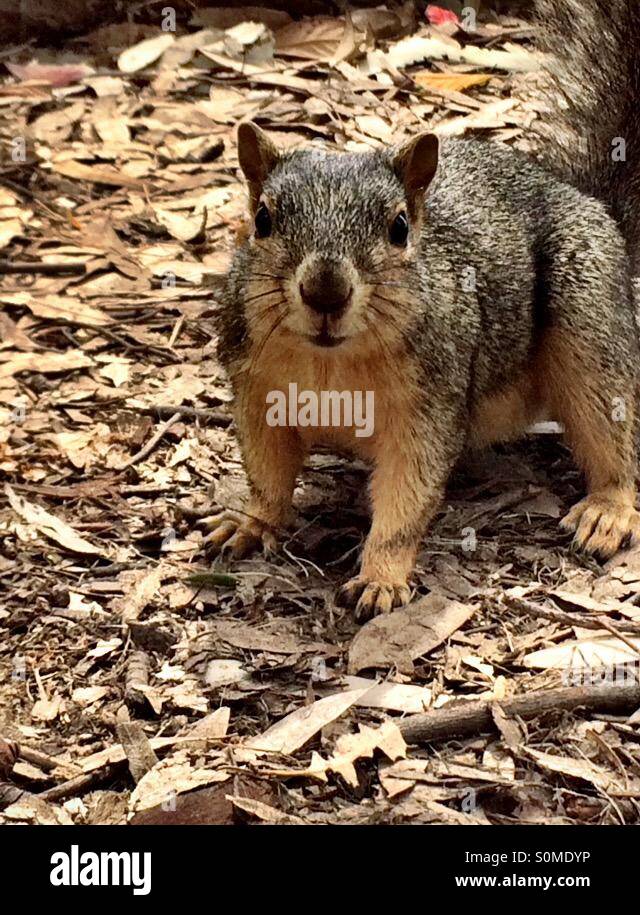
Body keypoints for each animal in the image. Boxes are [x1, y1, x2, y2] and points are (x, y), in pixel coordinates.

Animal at [210, 0, 640, 622]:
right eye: (262, 219)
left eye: (398, 227)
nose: (325, 292)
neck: (330, 362)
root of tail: (589, 200)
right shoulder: (258, 387)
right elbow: (267, 471)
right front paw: (251, 521)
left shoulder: (429, 406)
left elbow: (406, 496)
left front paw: (381, 578)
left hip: (589, 320)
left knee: (611, 429)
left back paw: (608, 507)